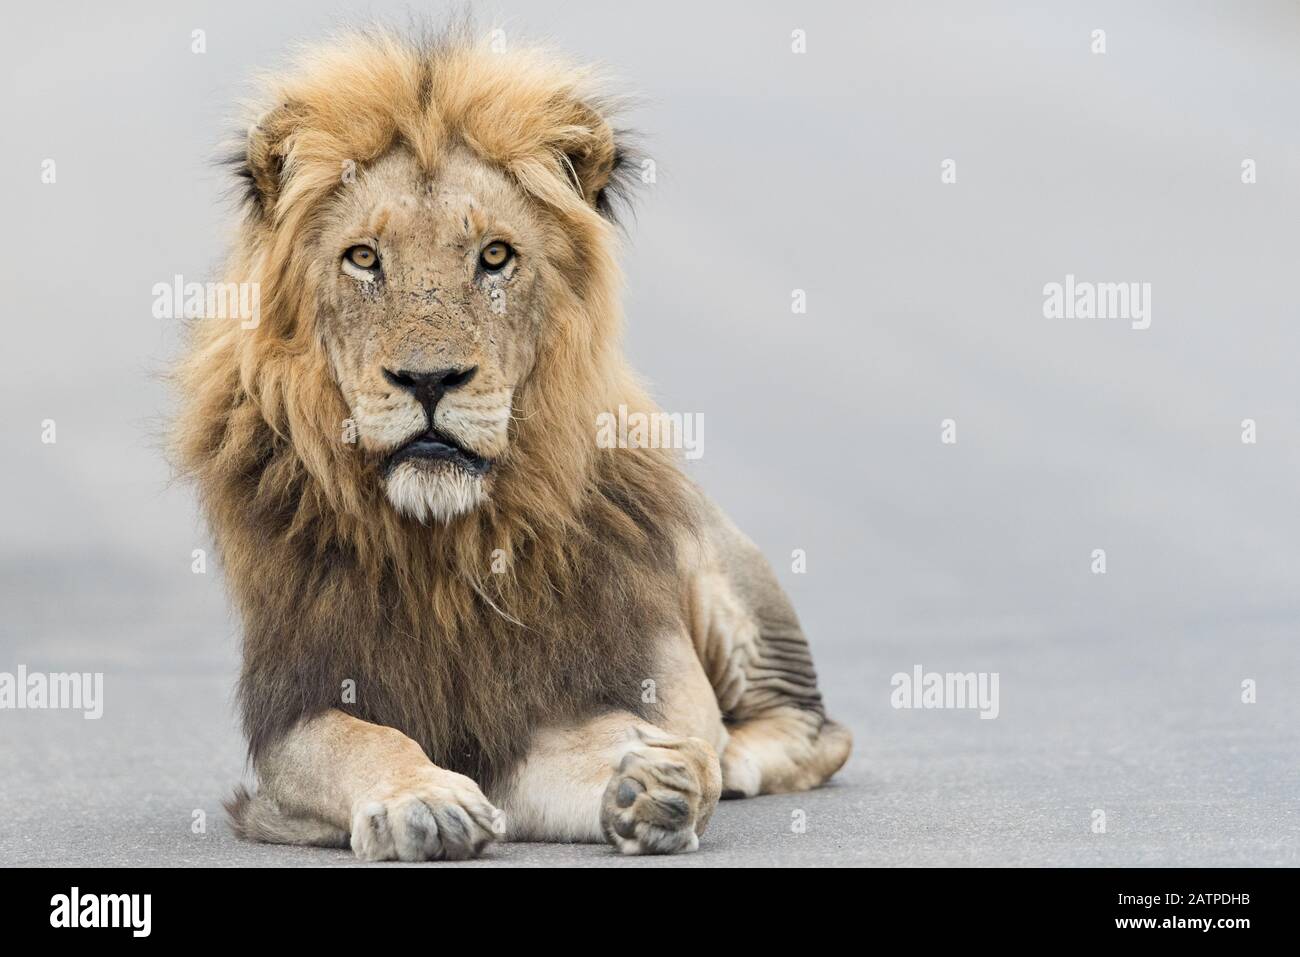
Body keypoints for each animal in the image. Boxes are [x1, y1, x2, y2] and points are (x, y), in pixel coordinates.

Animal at [174, 25, 850, 860]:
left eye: (495, 256)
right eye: (364, 257)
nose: (429, 379)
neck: (444, 544)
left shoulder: (555, 697)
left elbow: (628, 745)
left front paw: (657, 779)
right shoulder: (294, 717)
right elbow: (361, 741)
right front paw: (423, 801)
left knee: (816, 729)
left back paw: (733, 757)